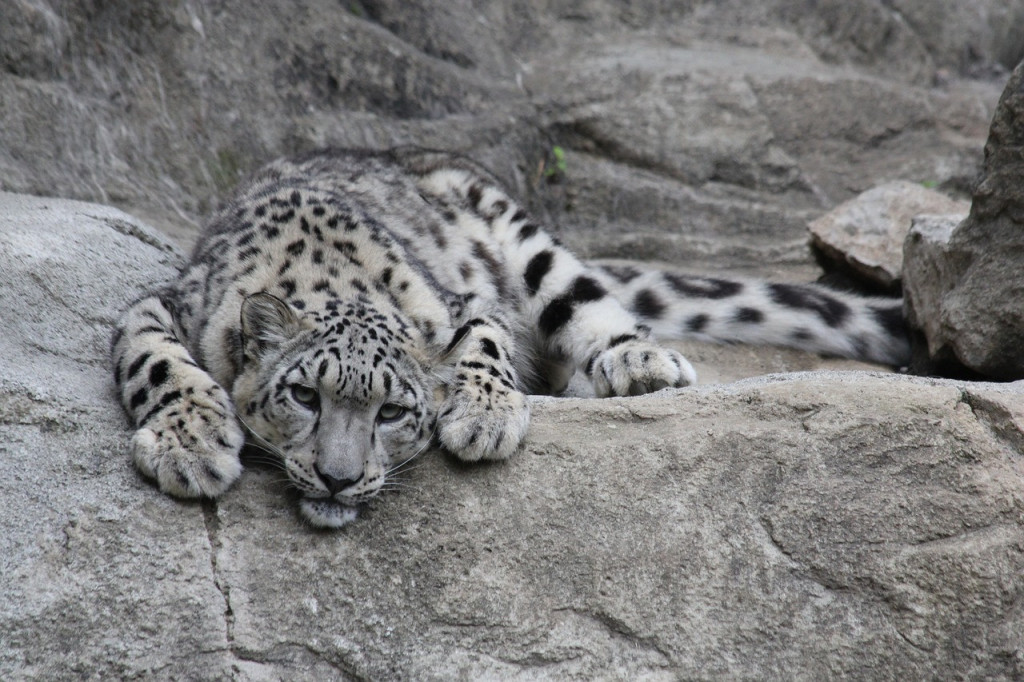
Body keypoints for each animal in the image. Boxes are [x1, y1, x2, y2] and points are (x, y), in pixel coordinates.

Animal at [111, 147, 910, 528]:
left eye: (393, 411)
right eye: (304, 395)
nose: (338, 477)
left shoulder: (465, 304)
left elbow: (484, 343)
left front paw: (485, 416)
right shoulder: (159, 306)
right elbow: (155, 361)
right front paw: (192, 444)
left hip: (527, 241)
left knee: (590, 304)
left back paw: (635, 363)